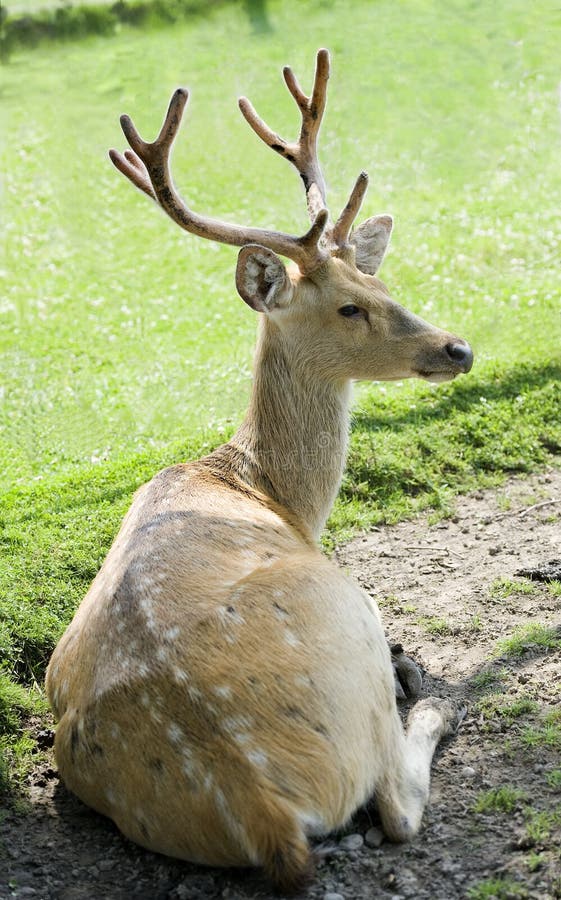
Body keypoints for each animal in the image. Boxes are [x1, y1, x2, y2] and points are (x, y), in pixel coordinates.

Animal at [46, 49, 473, 893]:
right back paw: (428, 702)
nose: (457, 348)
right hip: (347, 618)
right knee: (394, 807)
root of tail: (265, 810)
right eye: (347, 308)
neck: (267, 490)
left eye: (381, 284)